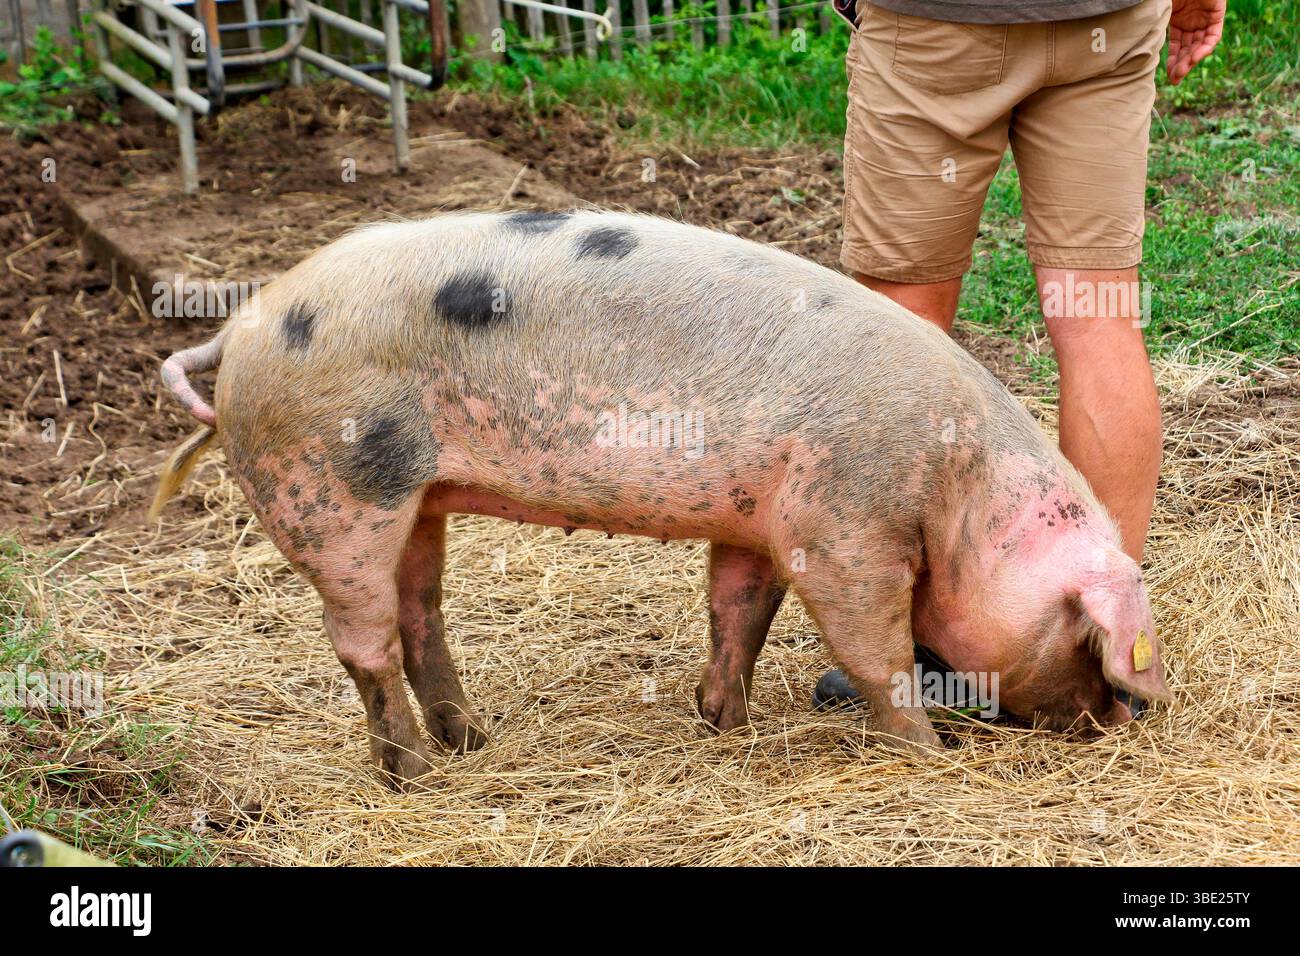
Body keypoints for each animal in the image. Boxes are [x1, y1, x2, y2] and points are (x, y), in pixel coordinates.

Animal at [150, 210, 1171, 787]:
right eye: (1086, 633)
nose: (1124, 719)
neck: (962, 494)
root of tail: (241, 328)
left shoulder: (761, 519)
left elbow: (739, 613)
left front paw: (726, 724)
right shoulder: (845, 525)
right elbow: (871, 645)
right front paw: (930, 757)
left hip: (421, 495)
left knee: (419, 610)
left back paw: (471, 740)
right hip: (336, 488)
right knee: (360, 640)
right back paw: (410, 773)